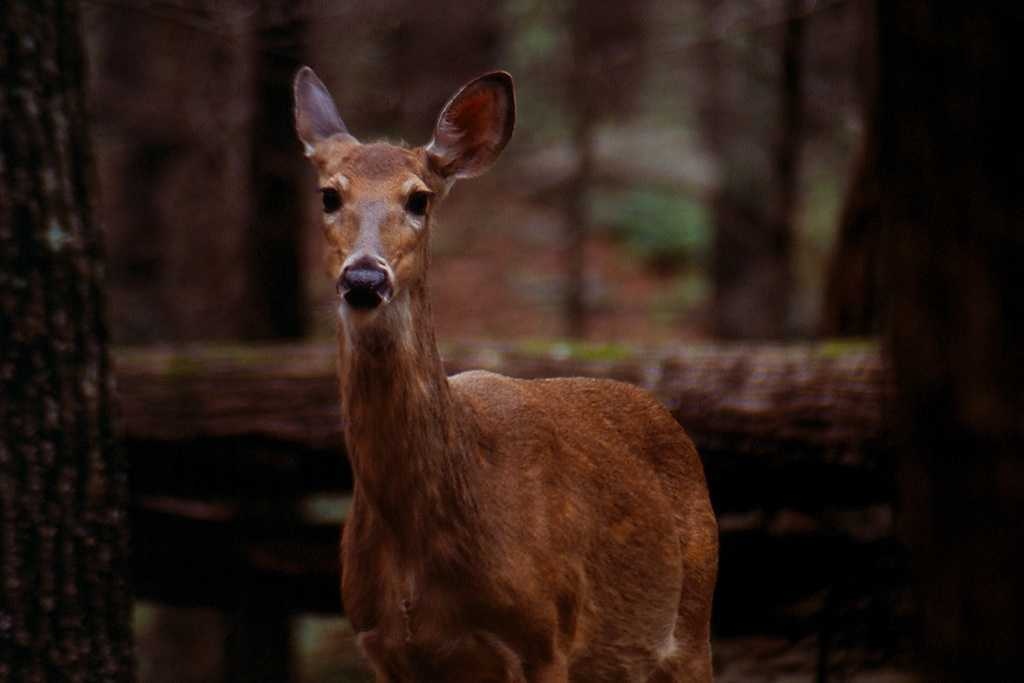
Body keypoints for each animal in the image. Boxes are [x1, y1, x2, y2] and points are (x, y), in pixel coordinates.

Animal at [293, 66, 718, 682]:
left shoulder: (545, 636)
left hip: (690, 628)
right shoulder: (382, 647)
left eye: (419, 199)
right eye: (330, 194)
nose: (365, 278)